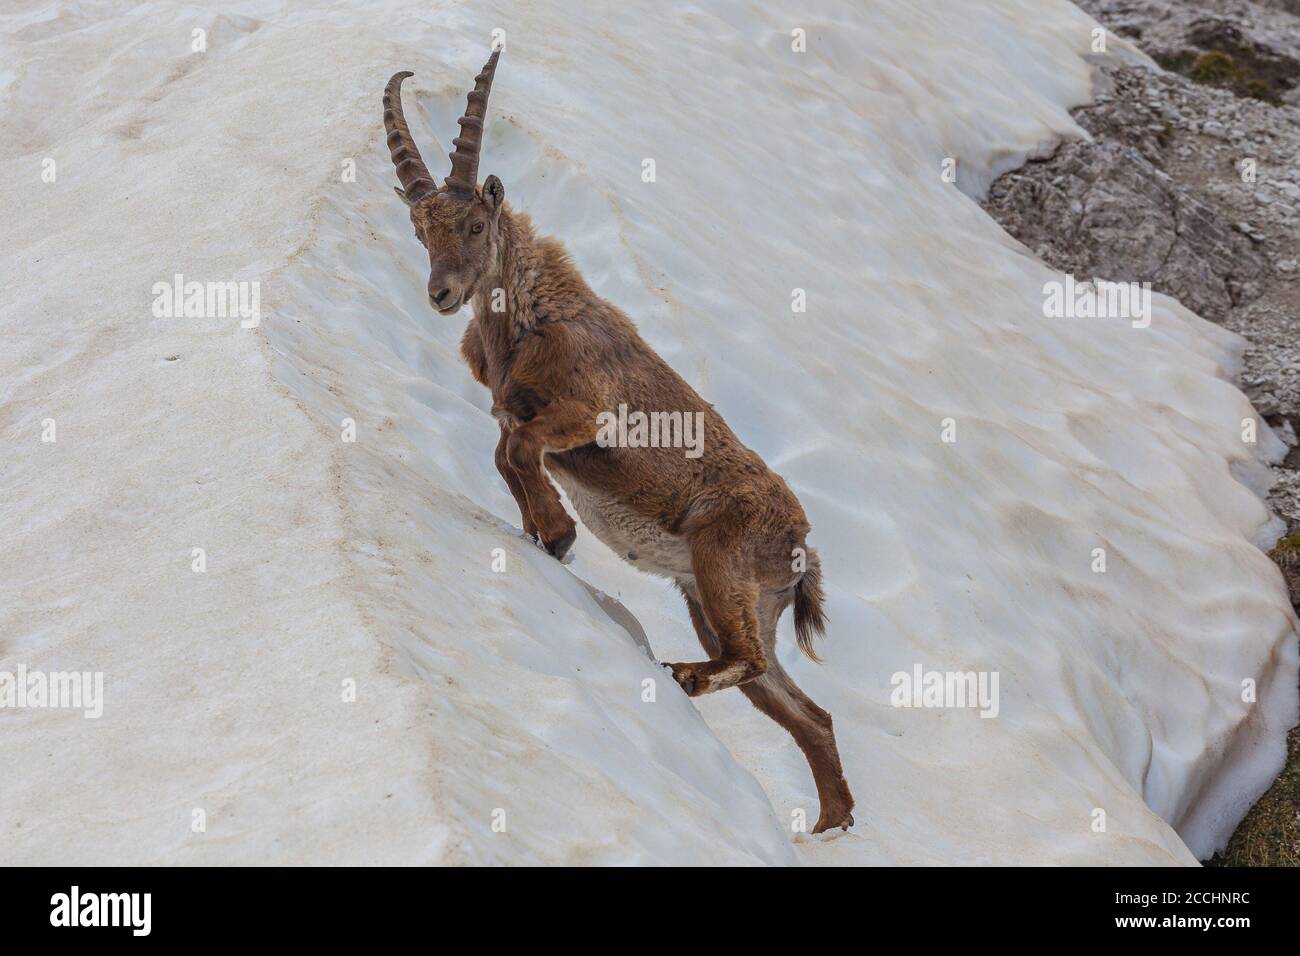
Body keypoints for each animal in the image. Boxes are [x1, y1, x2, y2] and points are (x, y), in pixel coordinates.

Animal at [383, 51, 854, 833]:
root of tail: (801, 548)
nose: (442, 294)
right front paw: (542, 533)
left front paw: (559, 533)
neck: (527, 320)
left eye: (476, 223)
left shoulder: (590, 415)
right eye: (421, 230)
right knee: (806, 712)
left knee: (753, 665)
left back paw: (684, 676)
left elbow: (518, 450)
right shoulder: (512, 412)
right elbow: (505, 452)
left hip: (719, 560)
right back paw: (830, 825)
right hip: (725, 598)